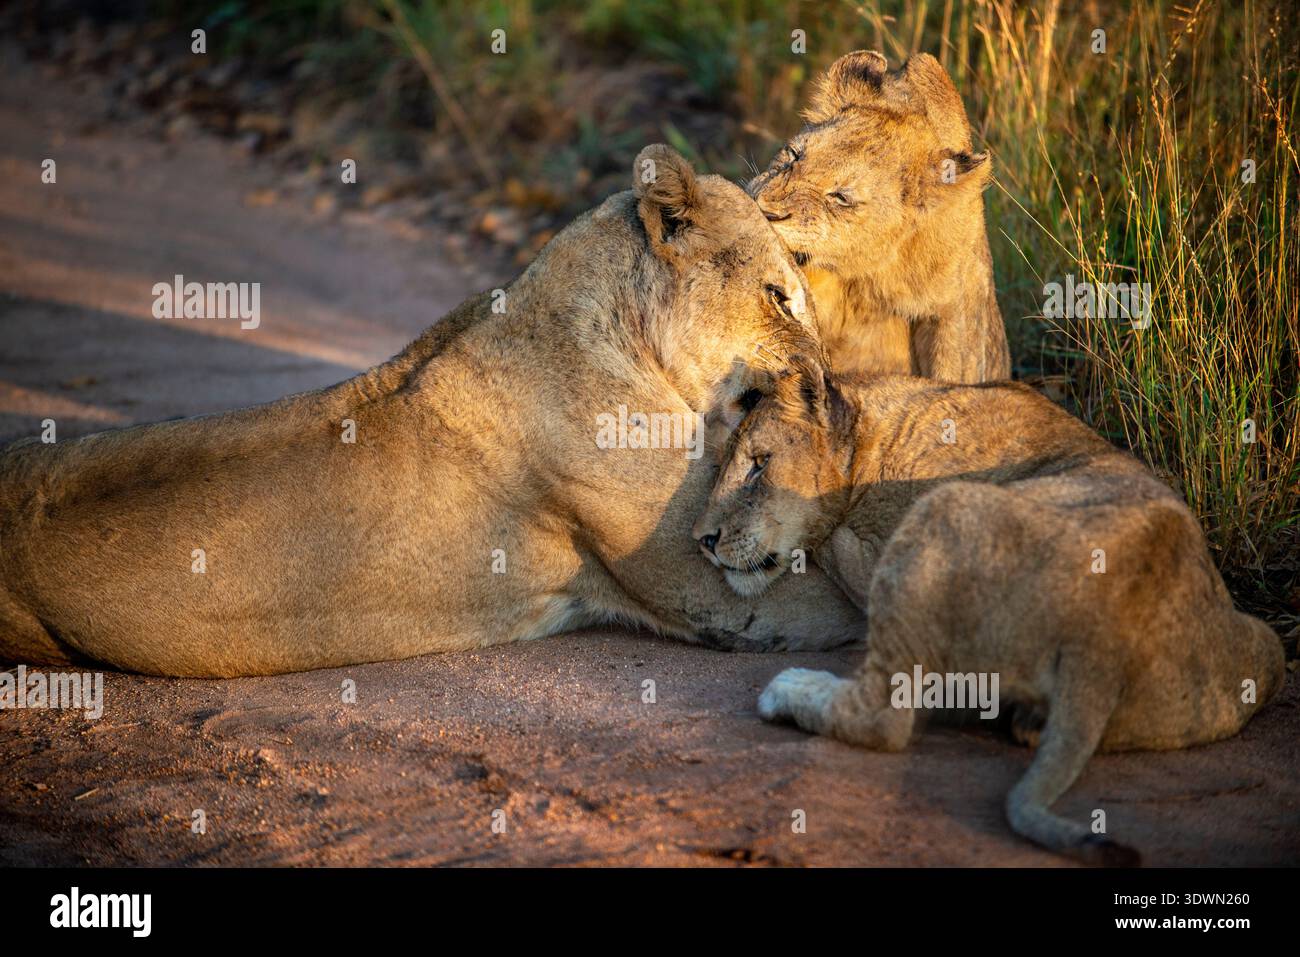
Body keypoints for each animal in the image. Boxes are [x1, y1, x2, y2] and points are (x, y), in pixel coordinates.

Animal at [692, 362, 1285, 864]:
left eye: (759, 465)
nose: (702, 540)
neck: (868, 440)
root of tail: (1107, 635)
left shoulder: (874, 540)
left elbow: (833, 543)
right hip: (1268, 648)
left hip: (943, 507)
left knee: (884, 718)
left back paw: (789, 689)